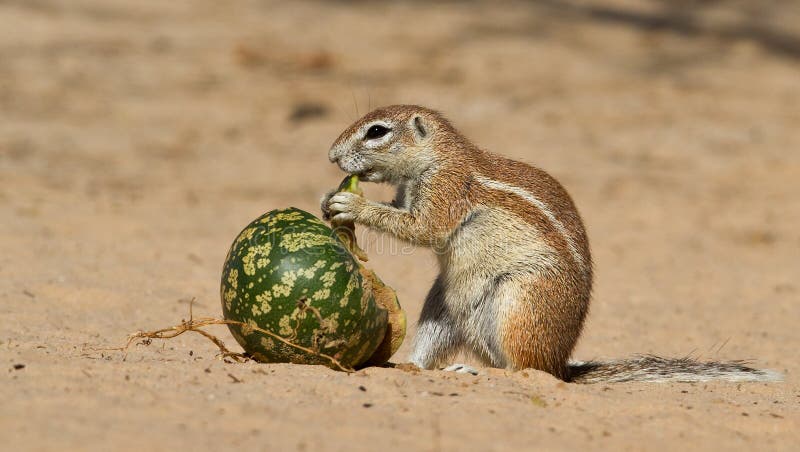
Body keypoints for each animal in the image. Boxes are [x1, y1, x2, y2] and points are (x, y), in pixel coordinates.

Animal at [321, 104, 780, 383]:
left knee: (525, 369)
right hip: (444, 306)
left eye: (377, 131)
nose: (331, 156)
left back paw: (473, 371)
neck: (440, 157)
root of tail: (562, 365)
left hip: (520, 302)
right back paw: (413, 366)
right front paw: (332, 201)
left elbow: (422, 228)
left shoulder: (446, 191)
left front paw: (351, 203)